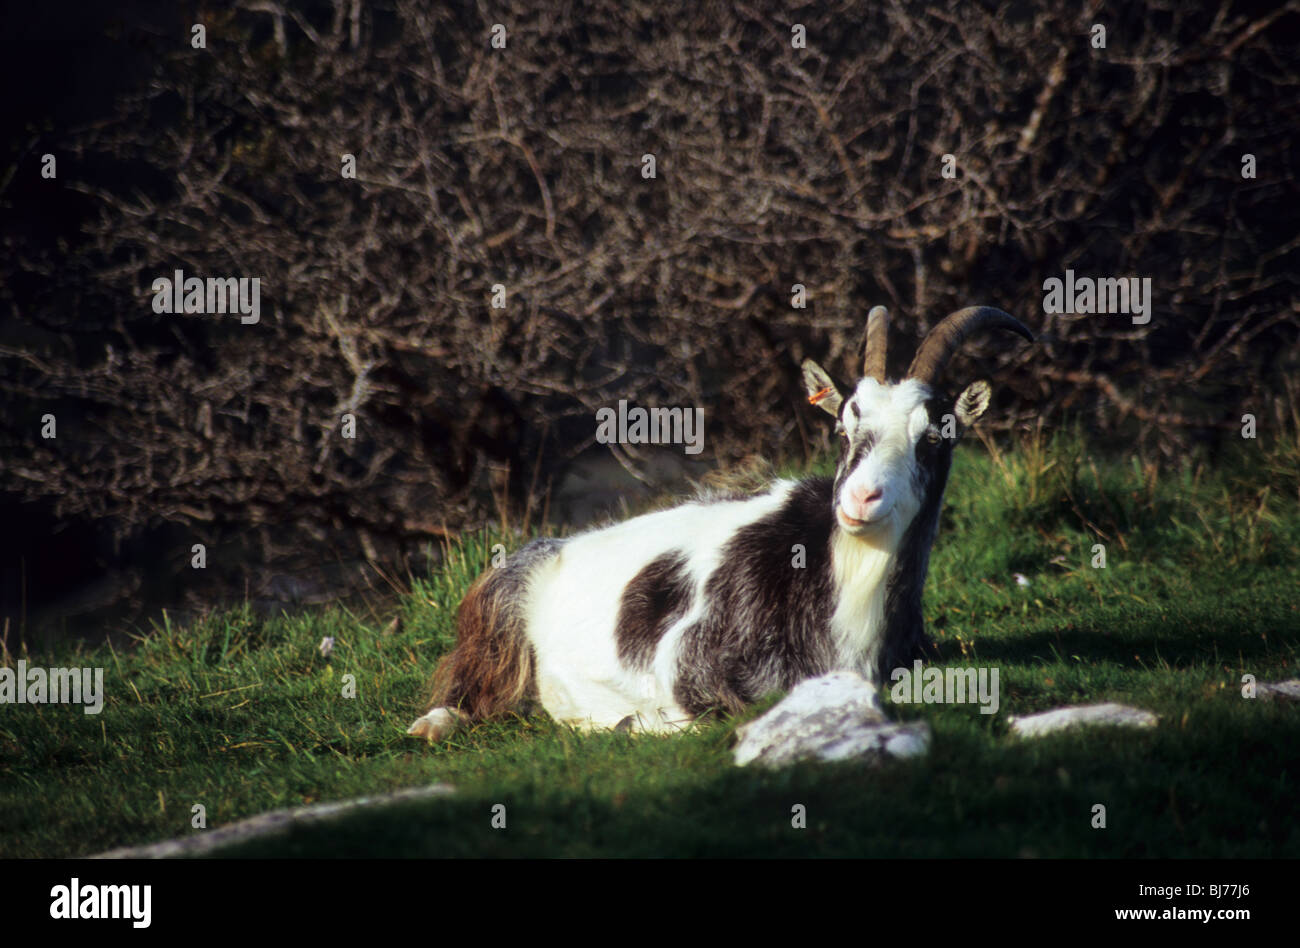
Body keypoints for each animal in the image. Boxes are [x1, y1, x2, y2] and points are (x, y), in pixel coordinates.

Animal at [409, 306, 1033, 739]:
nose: (860, 499)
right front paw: (631, 722)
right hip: (502, 617)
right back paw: (435, 724)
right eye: (844, 427)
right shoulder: (686, 660)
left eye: (934, 436)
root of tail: (555, 546)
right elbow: (708, 714)